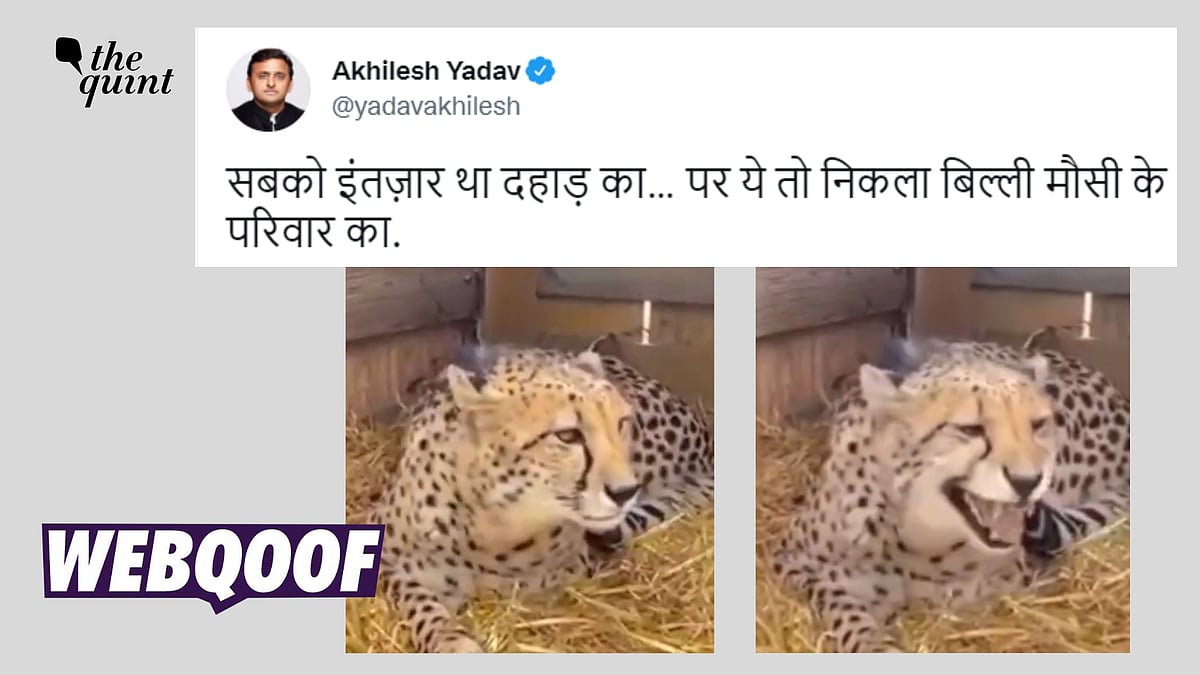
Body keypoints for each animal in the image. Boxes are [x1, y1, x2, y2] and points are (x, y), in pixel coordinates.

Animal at [364, 341, 714, 653]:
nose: (626, 491)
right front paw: (452, 642)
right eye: (567, 435)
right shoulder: (386, 559)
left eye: (622, 423)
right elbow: (418, 601)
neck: (498, 527)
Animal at [770, 337, 1129, 652]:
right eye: (970, 429)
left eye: (1038, 425)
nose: (1028, 480)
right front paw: (872, 643)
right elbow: (838, 601)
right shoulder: (789, 560)